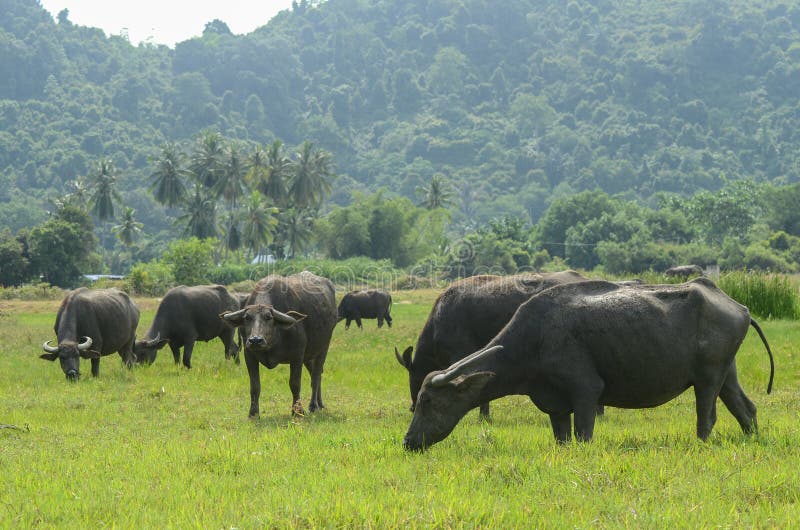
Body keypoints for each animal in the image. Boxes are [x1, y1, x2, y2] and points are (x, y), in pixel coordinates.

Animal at [220, 272, 337, 418]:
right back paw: (320, 404)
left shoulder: (297, 356)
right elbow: (255, 386)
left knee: (316, 376)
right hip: (309, 355)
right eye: (247, 318)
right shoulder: (249, 356)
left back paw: (313, 406)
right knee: (315, 374)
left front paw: (297, 411)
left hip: (323, 348)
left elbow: (295, 384)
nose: (255, 340)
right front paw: (253, 413)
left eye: (269, 317)